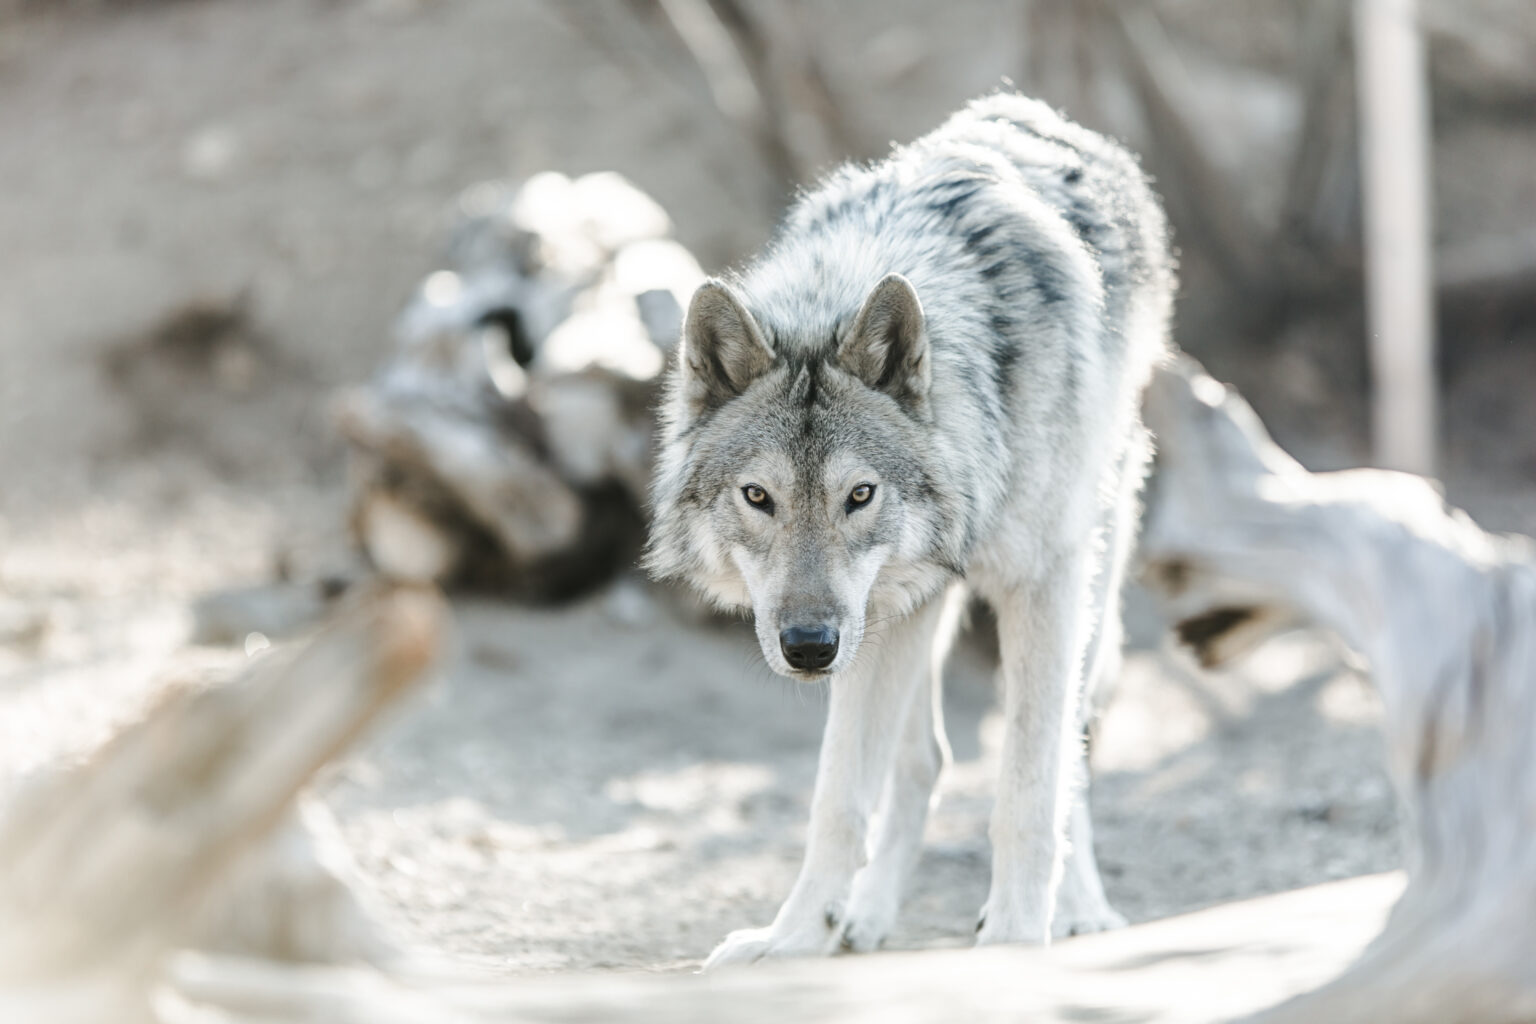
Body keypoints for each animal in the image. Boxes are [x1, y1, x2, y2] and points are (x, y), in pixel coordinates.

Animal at [648, 93, 1174, 967]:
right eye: (758, 496)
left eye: (859, 494)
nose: (808, 647)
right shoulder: (878, 621)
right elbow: (838, 798)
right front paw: (794, 936)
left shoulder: (1043, 582)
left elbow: (1030, 784)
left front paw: (1019, 935)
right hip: (897, 610)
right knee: (925, 758)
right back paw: (863, 917)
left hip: (1083, 571)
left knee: (1070, 751)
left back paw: (1080, 911)